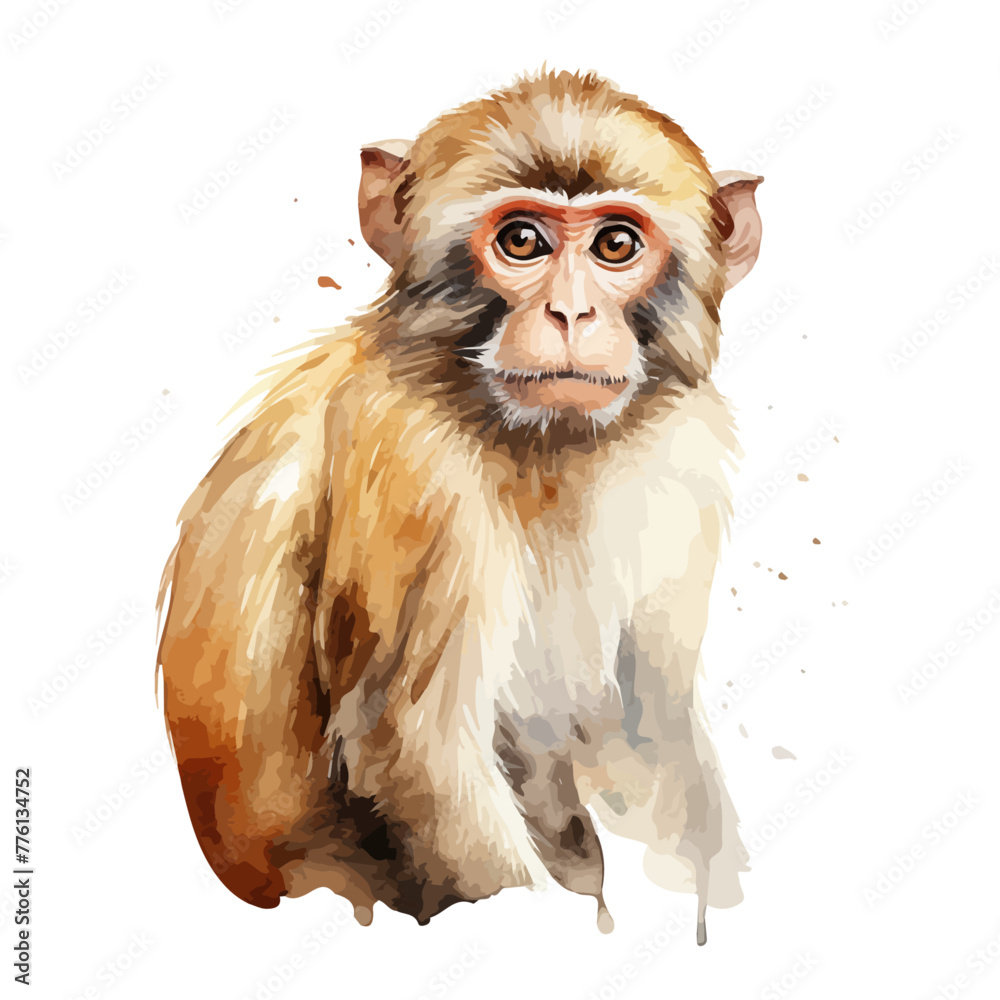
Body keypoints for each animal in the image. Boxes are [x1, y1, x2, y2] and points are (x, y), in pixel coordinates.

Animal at [156, 69, 763, 946]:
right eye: (522, 241)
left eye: (616, 245)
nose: (571, 315)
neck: (542, 447)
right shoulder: (413, 462)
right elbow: (416, 748)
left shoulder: (679, 461)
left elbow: (651, 732)